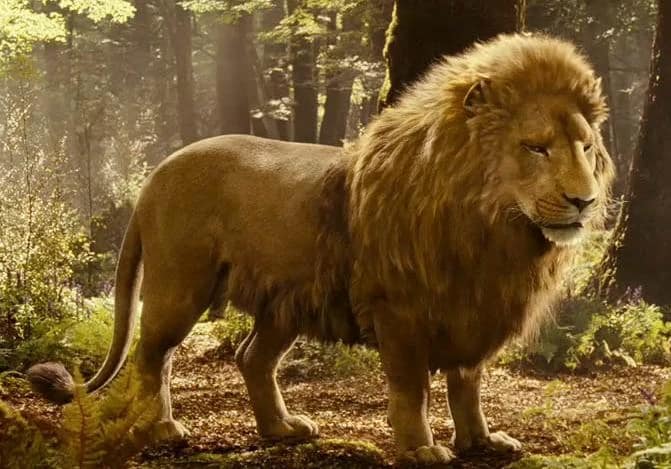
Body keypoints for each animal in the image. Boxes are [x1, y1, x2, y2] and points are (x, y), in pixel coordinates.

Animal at [28, 33, 614, 465]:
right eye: (535, 147)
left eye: (586, 147)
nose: (583, 201)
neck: (491, 229)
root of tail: (156, 173)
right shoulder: (400, 310)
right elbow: (413, 389)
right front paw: (420, 449)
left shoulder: (475, 307)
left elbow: (466, 385)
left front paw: (482, 442)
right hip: (180, 285)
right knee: (153, 358)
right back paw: (164, 429)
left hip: (284, 303)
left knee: (250, 357)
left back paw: (282, 429)